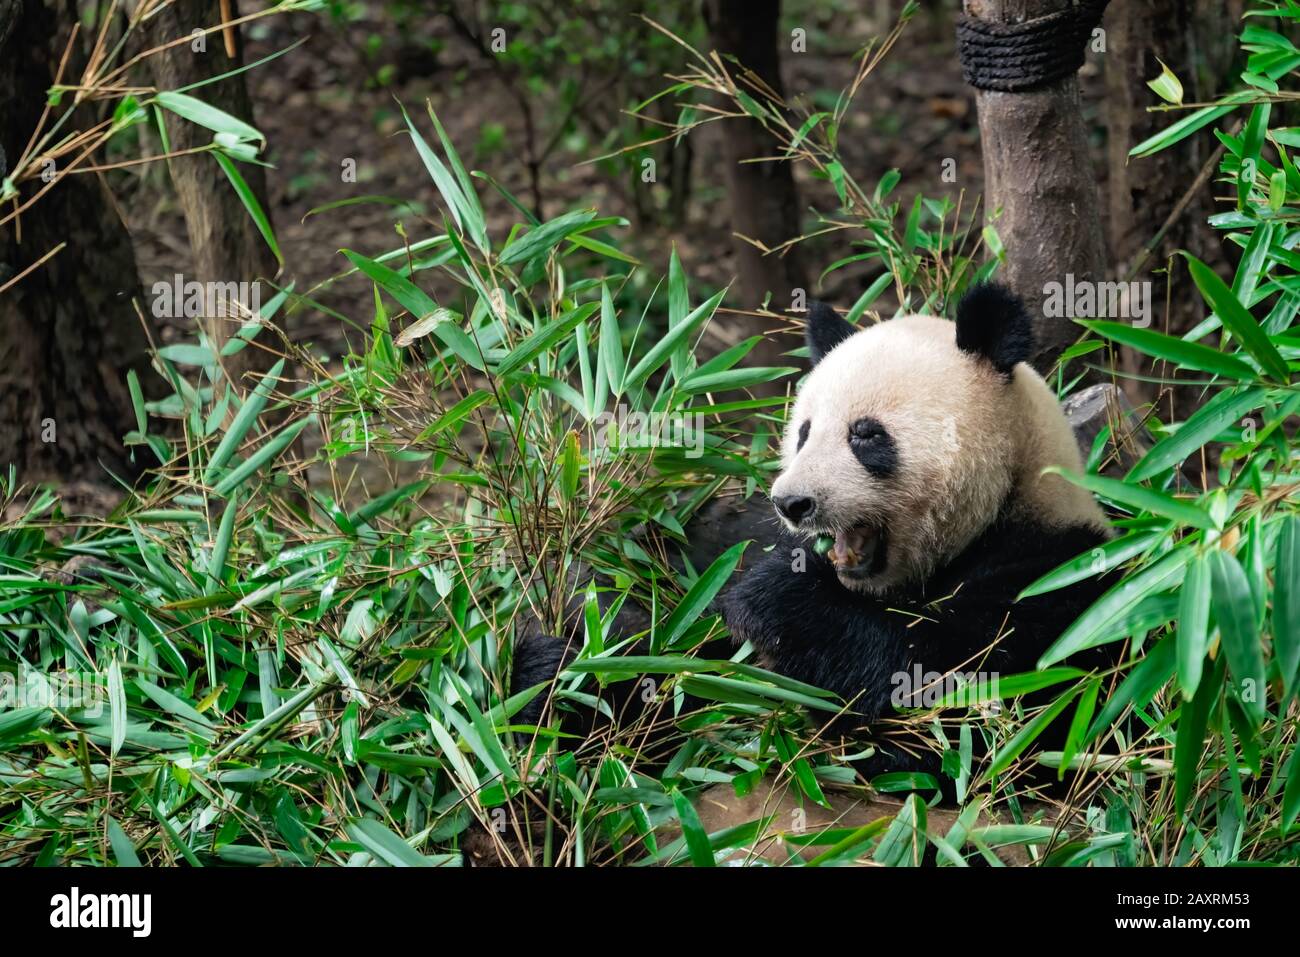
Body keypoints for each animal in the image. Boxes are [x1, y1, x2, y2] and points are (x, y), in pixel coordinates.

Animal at [511, 282, 1116, 786]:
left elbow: (962, 720)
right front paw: (558, 668)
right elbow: (672, 653)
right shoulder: (744, 540)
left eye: (866, 435)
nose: (793, 502)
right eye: (803, 432)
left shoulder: (1056, 580)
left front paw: (774, 598)